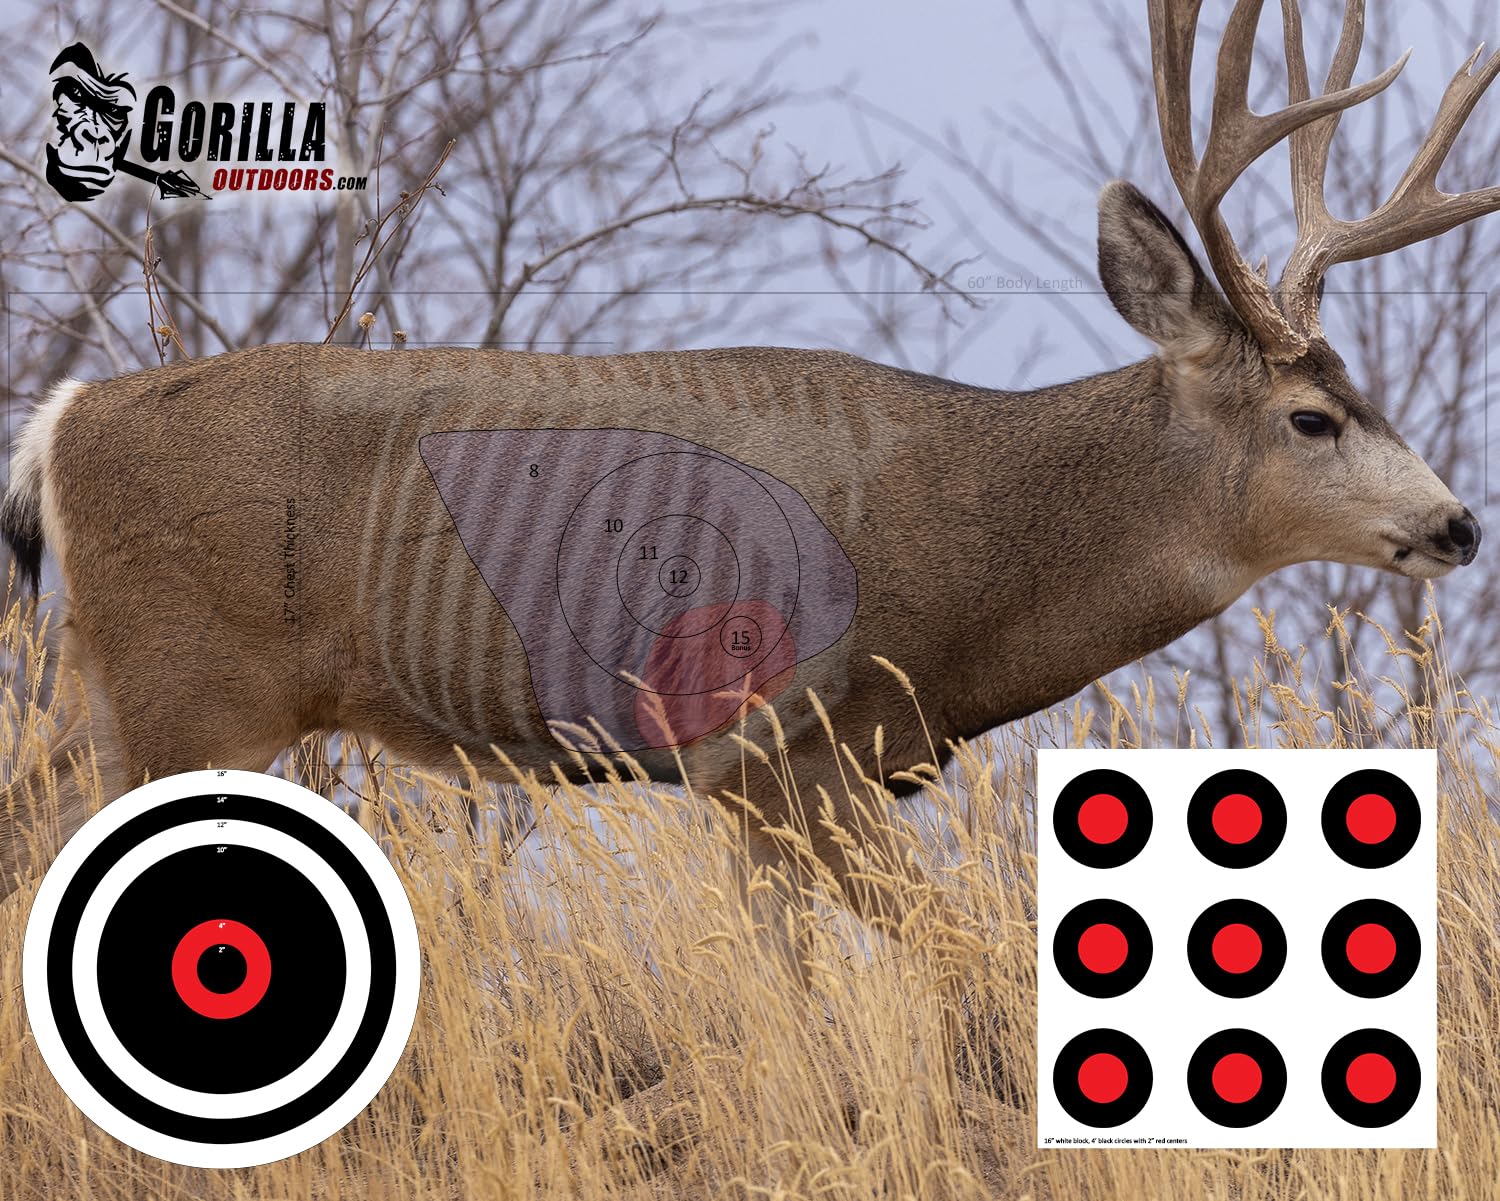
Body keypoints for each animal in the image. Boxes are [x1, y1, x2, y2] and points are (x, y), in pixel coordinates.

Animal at [0, 0, 1493, 1024]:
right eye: (1312, 418)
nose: (1457, 526)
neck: (968, 549)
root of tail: (63, 417)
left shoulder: (789, 778)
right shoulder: (777, 747)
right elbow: (957, 962)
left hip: (98, 684)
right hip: (187, 685)